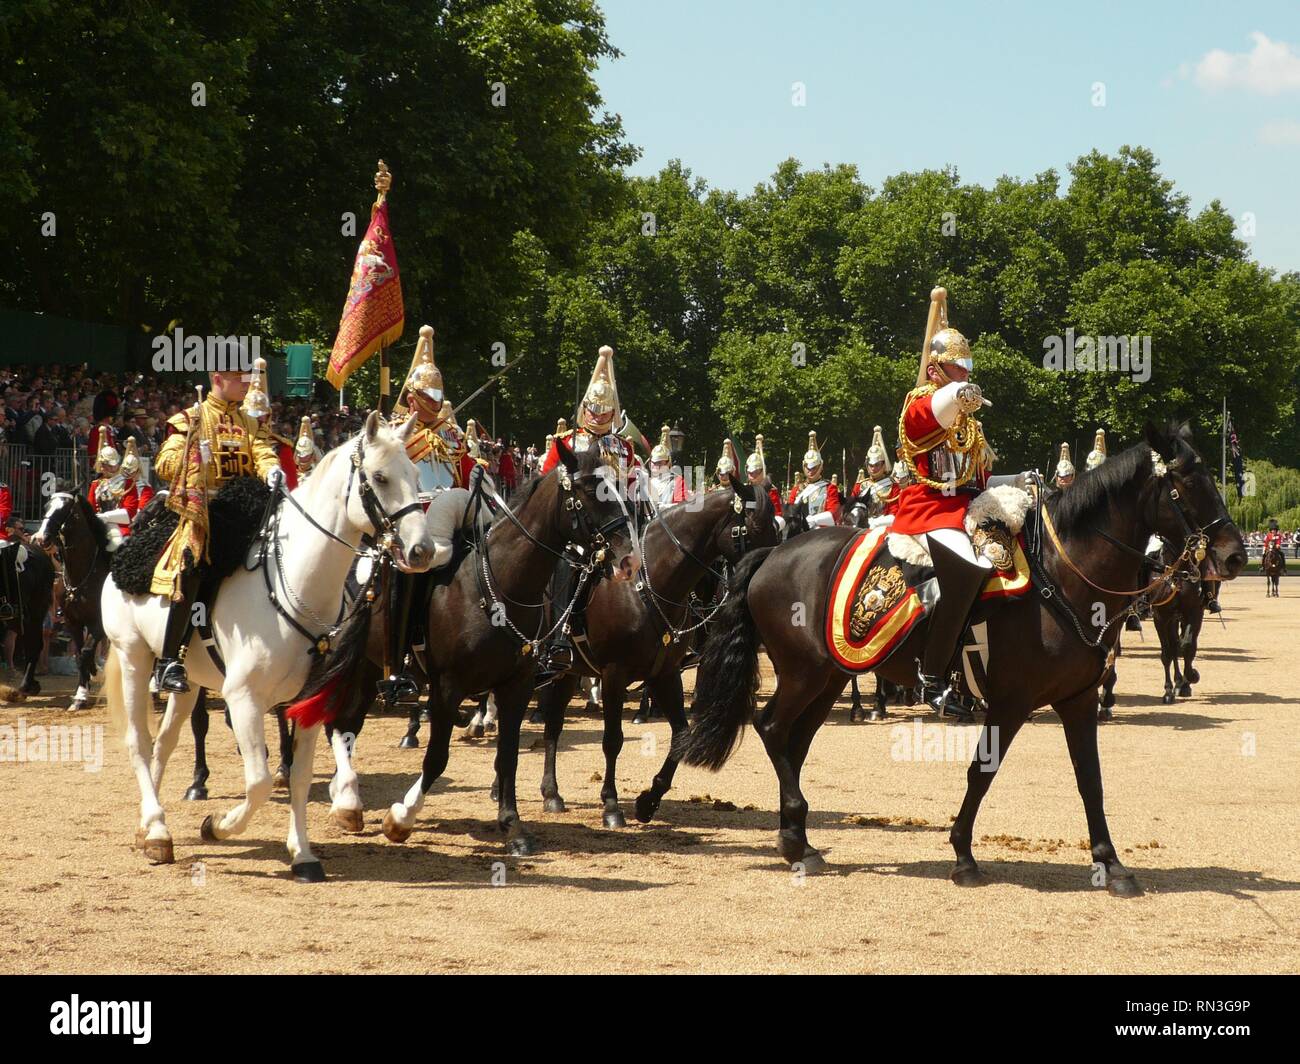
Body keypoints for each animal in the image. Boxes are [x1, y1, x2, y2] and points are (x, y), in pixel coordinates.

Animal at [32, 491, 114, 710]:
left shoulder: (98, 623)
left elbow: (86, 652)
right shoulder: (73, 622)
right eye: (46, 507)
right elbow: (79, 655)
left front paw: (93, 675)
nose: (40, 538)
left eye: (63, 511)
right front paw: (80, 695)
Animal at [101, 412, 434, 880]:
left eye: (417, 476)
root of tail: (127, 546)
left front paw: (304, 855)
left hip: (189, 681)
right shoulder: (243, 698)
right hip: (132, 656)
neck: (295, 585)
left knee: (164, 741)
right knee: (139, 741)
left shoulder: (310, 699)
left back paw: (150, 828)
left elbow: (299, 777)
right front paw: (217, 826)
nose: (423, 550)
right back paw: (159, 831)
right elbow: (258, 781)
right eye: (380, 477)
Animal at [374, 438, 634, 855]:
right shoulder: (448, 687)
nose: (628, 558)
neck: (498, 587)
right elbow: (437, 758)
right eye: (587, 491)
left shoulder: (517, 685)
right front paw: (401, 816)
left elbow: (508, 756)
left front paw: (513, 827)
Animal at [528, 476, 779, 830]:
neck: (647, 586)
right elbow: (612, 740)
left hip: (568, 672)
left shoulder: (665, 674)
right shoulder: (614, 674)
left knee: (553, 725)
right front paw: (611, 805)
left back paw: (551, 794)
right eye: (754, 528)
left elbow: (681, 736)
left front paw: (648, 801)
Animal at [674, 424, 1245, 897]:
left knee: (794, 741)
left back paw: (800, 841)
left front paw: (1112, 864)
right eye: (1187, 485)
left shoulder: (1077, 700)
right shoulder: (1010, 702)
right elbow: (981, 772)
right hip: (803, 673)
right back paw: (797, 835)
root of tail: (773, 554)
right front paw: (964, 856)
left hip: (829, 677)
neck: (1062, 579)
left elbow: (1091, 781)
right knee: (771, 727)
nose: (1236, 554)